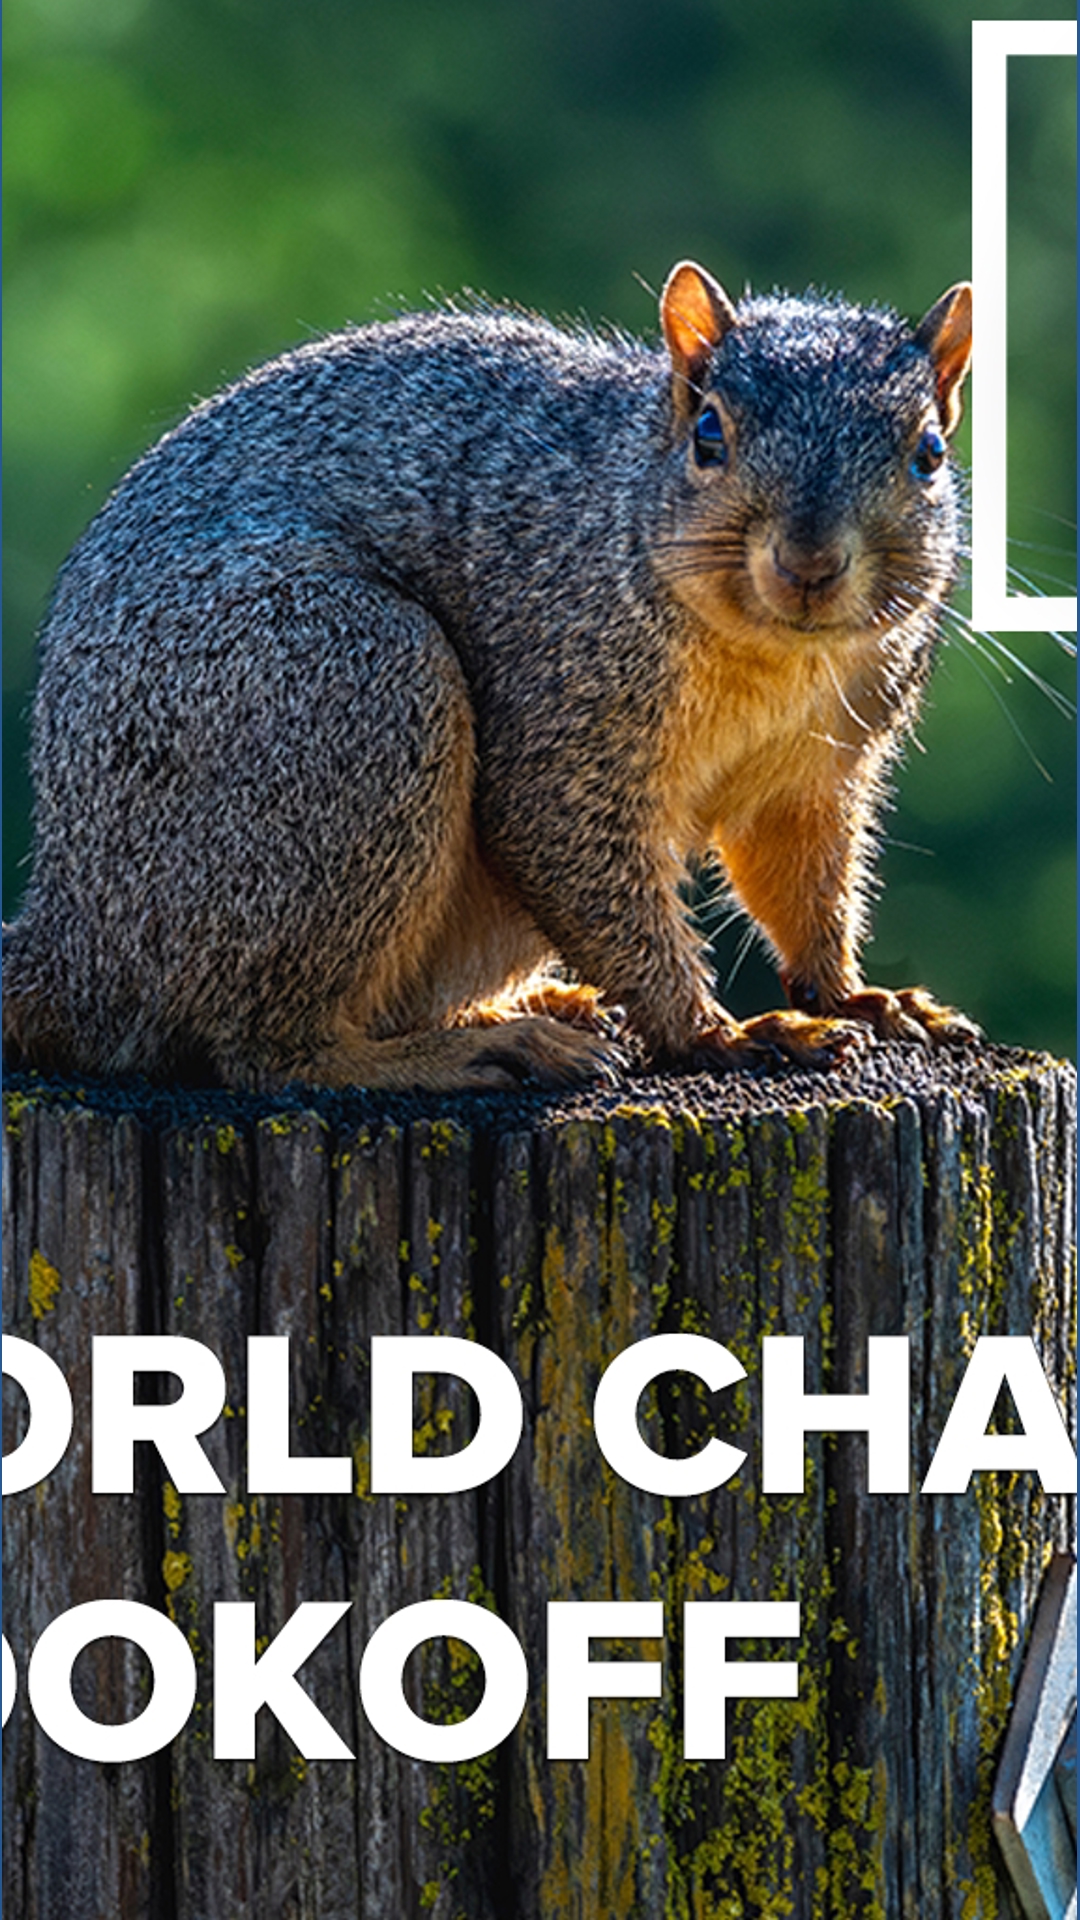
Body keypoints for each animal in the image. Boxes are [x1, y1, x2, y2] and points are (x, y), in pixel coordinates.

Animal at [2, 259, 976, 1093]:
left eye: (929, 453)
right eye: (710, 435)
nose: (809, 563)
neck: (780, 657)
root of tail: (73, 932)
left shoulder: (817, 769)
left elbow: (802, 881)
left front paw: (852, 996)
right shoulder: (561, 711)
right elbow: (575, 856)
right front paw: (722, 1033)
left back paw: (537, 1006)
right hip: (349, 692)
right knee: (269, 1049)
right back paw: (465, 1053)